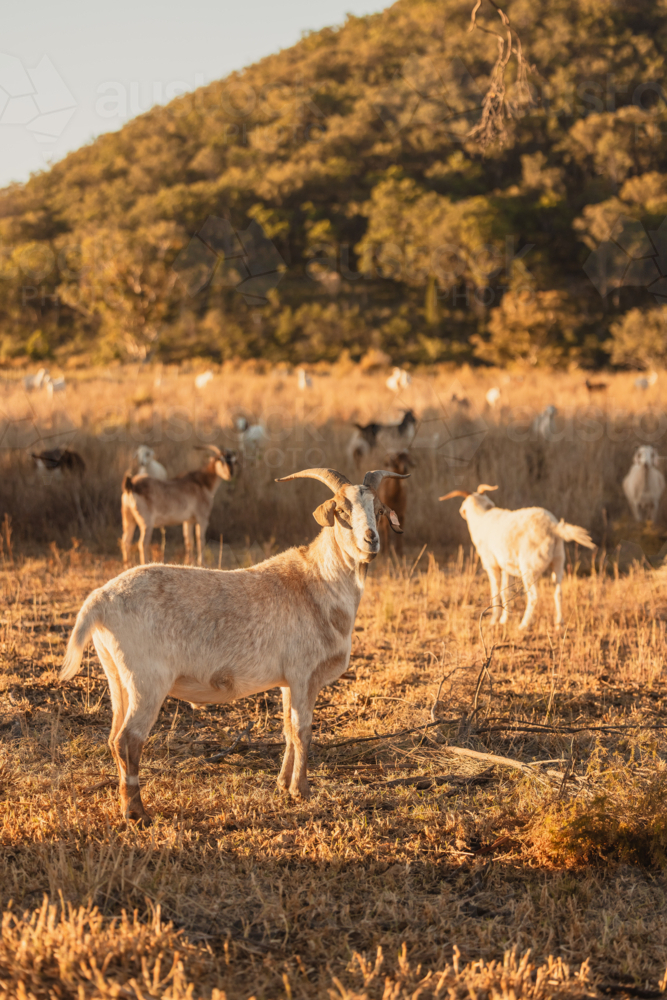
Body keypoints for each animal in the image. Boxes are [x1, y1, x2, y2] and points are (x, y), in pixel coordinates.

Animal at [61, 466, 408, 825]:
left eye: (379, 510)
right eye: (341, 510)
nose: (371, 539)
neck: (318, 582)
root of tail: (99, 599)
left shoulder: (287, 681)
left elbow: (287, 729)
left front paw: (282, 785)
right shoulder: (303, 674)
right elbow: (302, 730)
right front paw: (302, 791)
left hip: (117, 676)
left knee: (113, 736)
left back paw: (124, 803)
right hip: (147, 680)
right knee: (129, 739)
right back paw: (137, 812)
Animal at [440, 485, 595, 629]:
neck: (482, 517)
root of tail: (553, 527)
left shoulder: (492, 564)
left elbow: (496, 591)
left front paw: (494, 620)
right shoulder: (505, 566)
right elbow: (506, 592)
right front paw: (504, 620)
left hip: (529, 567)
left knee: (534, 596)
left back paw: (524, 624)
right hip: (558, 561)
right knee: (559, 593)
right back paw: (559, 624)